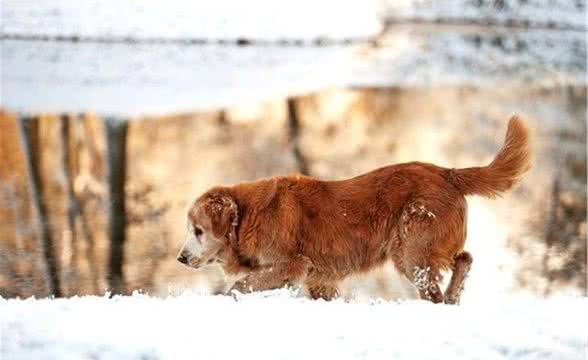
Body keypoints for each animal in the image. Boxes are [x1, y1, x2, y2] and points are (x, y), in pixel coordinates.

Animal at [177, 116, 532, 302]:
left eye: (198, 230)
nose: (180, 258)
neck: (249, 215)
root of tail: (447, 172)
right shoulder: (320, 279)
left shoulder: (293, 264)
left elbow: (240, 285)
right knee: (464, 259)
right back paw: (455, 294)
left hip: (411, 251)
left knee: (436, 287)